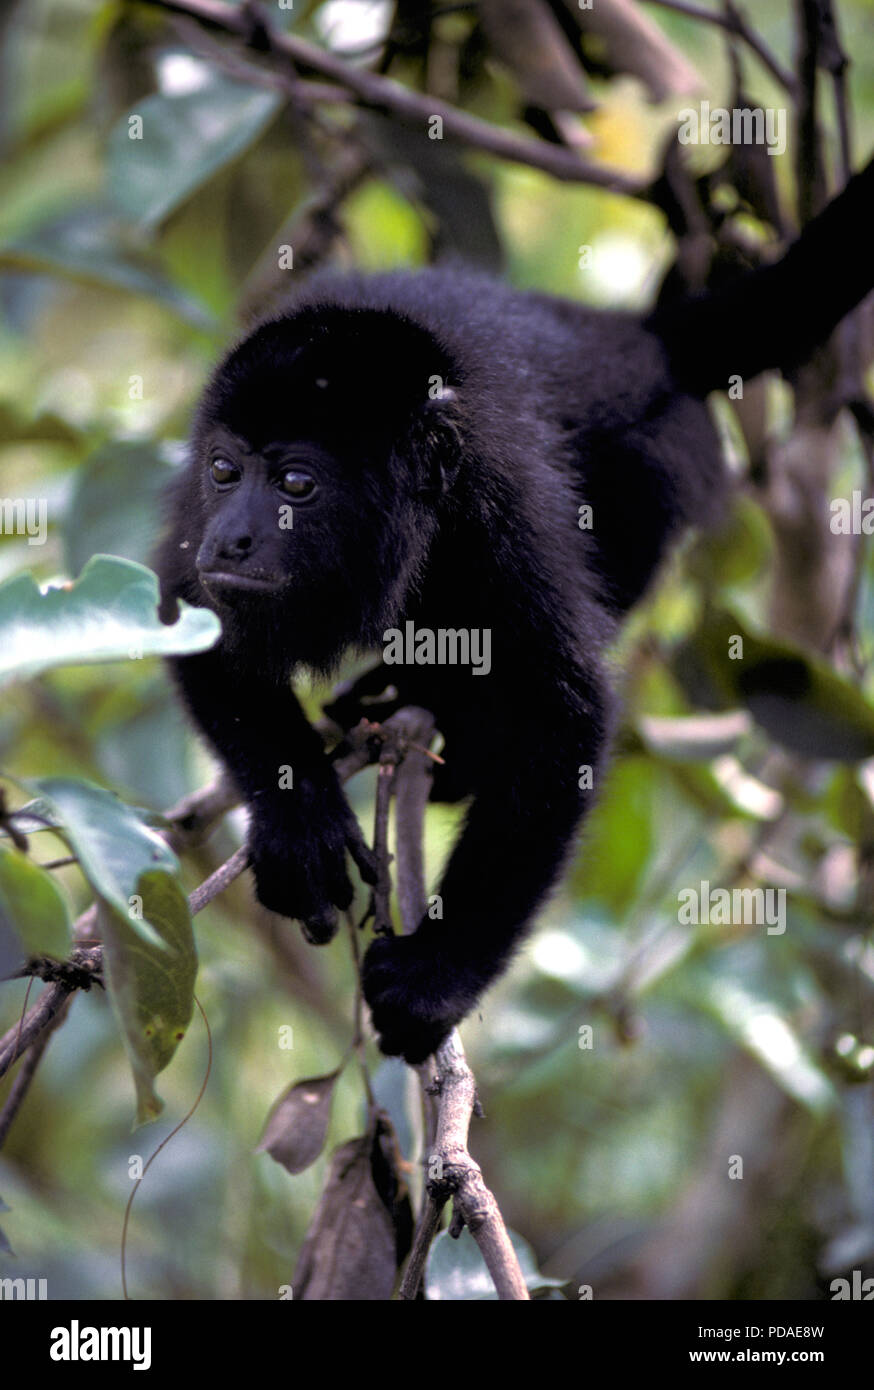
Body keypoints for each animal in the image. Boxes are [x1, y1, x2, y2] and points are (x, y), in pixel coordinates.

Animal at [154, 156, 874, 1064]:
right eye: (224, 469)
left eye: (295, 484)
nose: (232, 539)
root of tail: (631, 338)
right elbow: (185, 615)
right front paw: (299, 819)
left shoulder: (499, 506)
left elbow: (564, 713)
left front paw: (438, 977)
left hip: (657, 464)